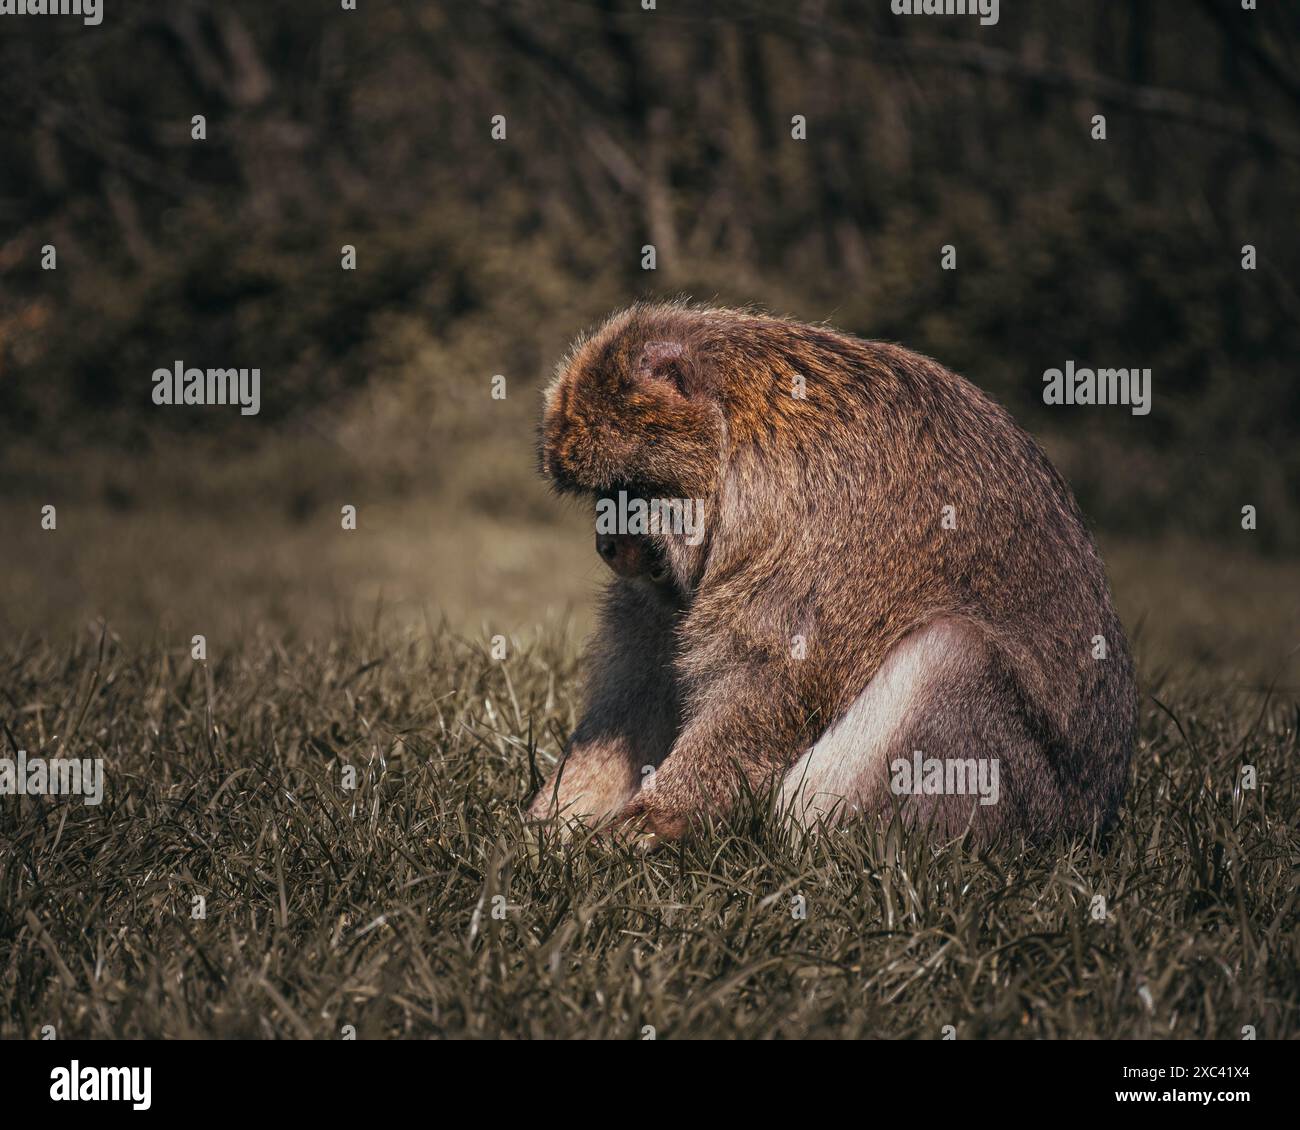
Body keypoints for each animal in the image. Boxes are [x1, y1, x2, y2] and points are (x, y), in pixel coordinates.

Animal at [528, 301, 1137, 847]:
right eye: (603, 496)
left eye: (626, 491)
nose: (608, 544)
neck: (742, 438)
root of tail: (1089, 823)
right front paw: (553, 823)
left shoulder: (813, 514)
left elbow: (775, 674)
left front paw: (660, 817)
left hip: (1021, 799)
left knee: (953, 650)